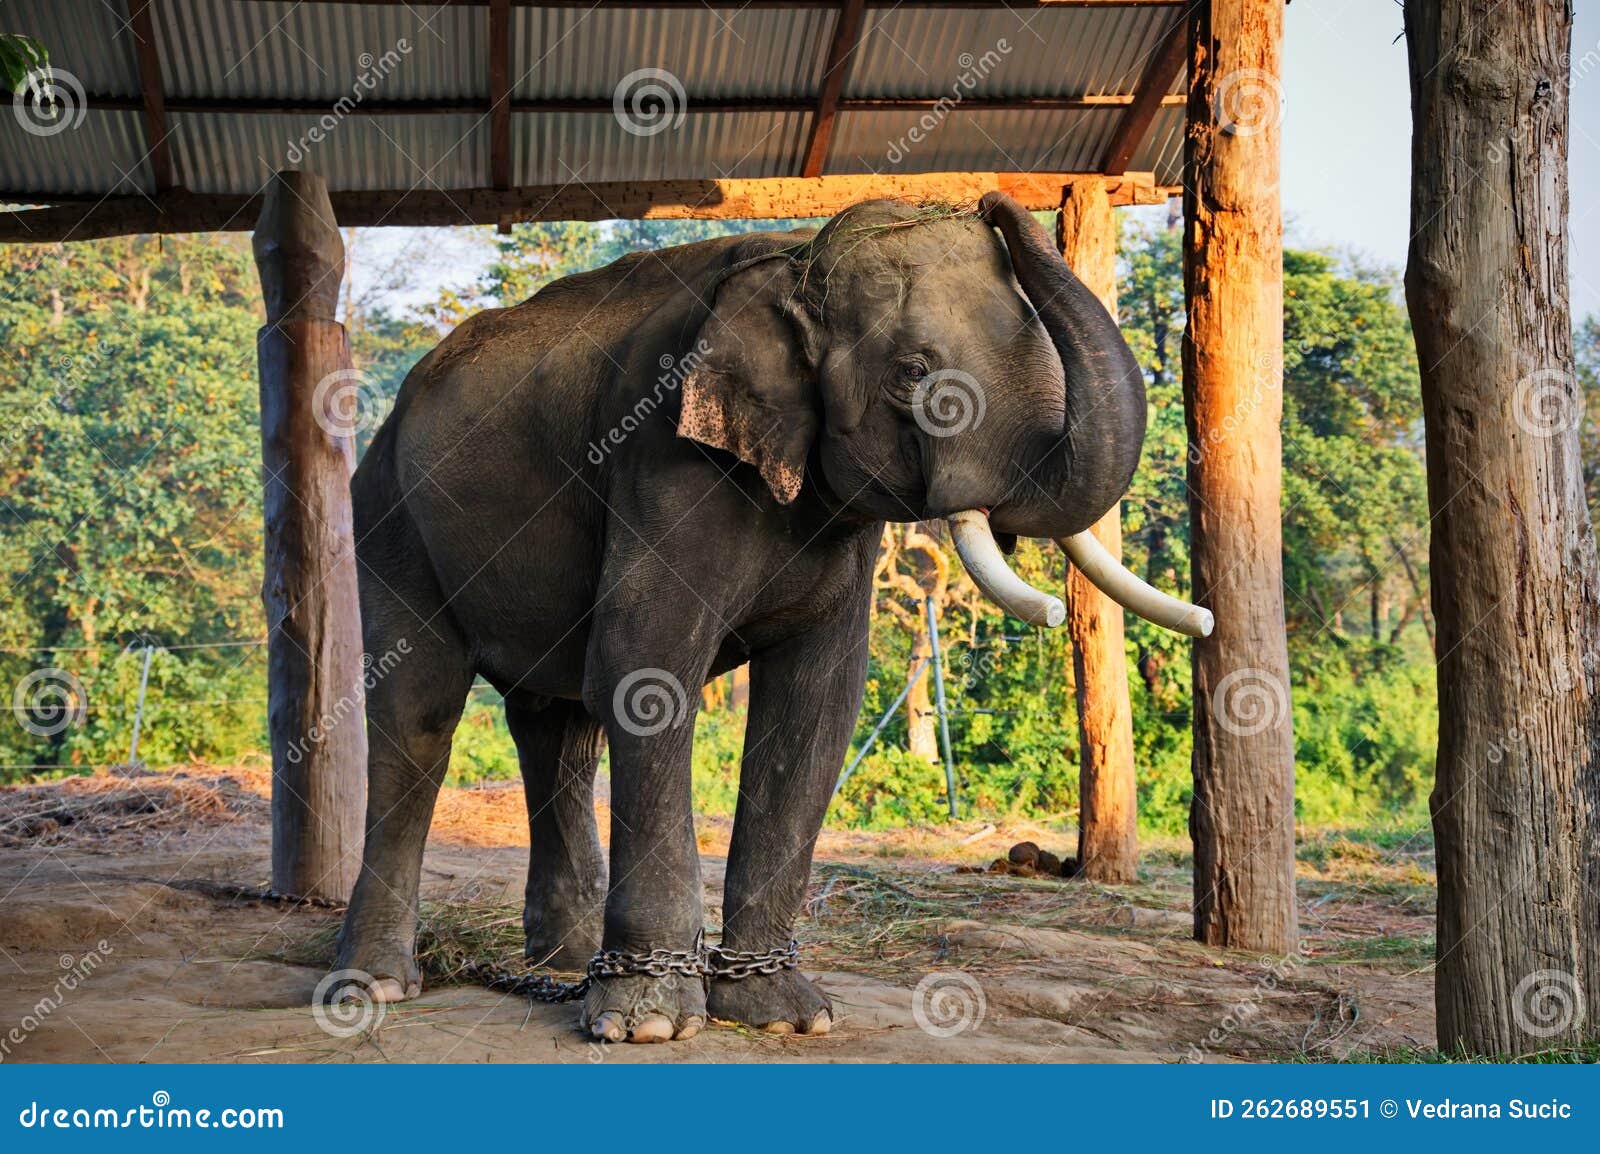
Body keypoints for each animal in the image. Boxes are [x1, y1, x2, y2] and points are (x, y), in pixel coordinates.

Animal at [329, 191, 1208, 1043]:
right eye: (915, 373)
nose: (992, 199)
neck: (793, 260)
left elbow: (817, 701)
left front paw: (785, 1013)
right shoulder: (664, 454)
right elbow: (644, 668)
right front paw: (651, 1024)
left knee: (556, 727)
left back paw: (566, 964)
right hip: (390, 518)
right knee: (419, 712)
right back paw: (376, 983)